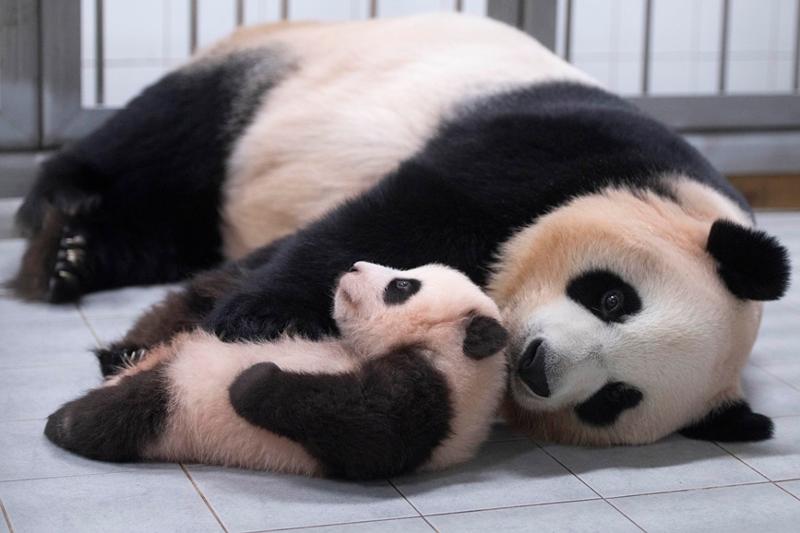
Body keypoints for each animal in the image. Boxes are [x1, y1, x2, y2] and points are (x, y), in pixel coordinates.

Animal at [15, 14, 791, 446]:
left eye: (615, 398)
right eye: (612, 298)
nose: (536, 364)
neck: (677, 194)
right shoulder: (559, 148)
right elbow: (401, 213)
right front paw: (249, 321)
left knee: (177, 223)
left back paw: (76, 260)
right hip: (268, 78)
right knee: (163, 142)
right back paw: (55, 234)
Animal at [44, 262, 509, 479]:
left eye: (402, 286)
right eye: (405, 273)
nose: (355, 266)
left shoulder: (432, 401)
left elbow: (365, 426)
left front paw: (253, 377)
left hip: (168, 408)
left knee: (114, 419)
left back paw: (63, 423)